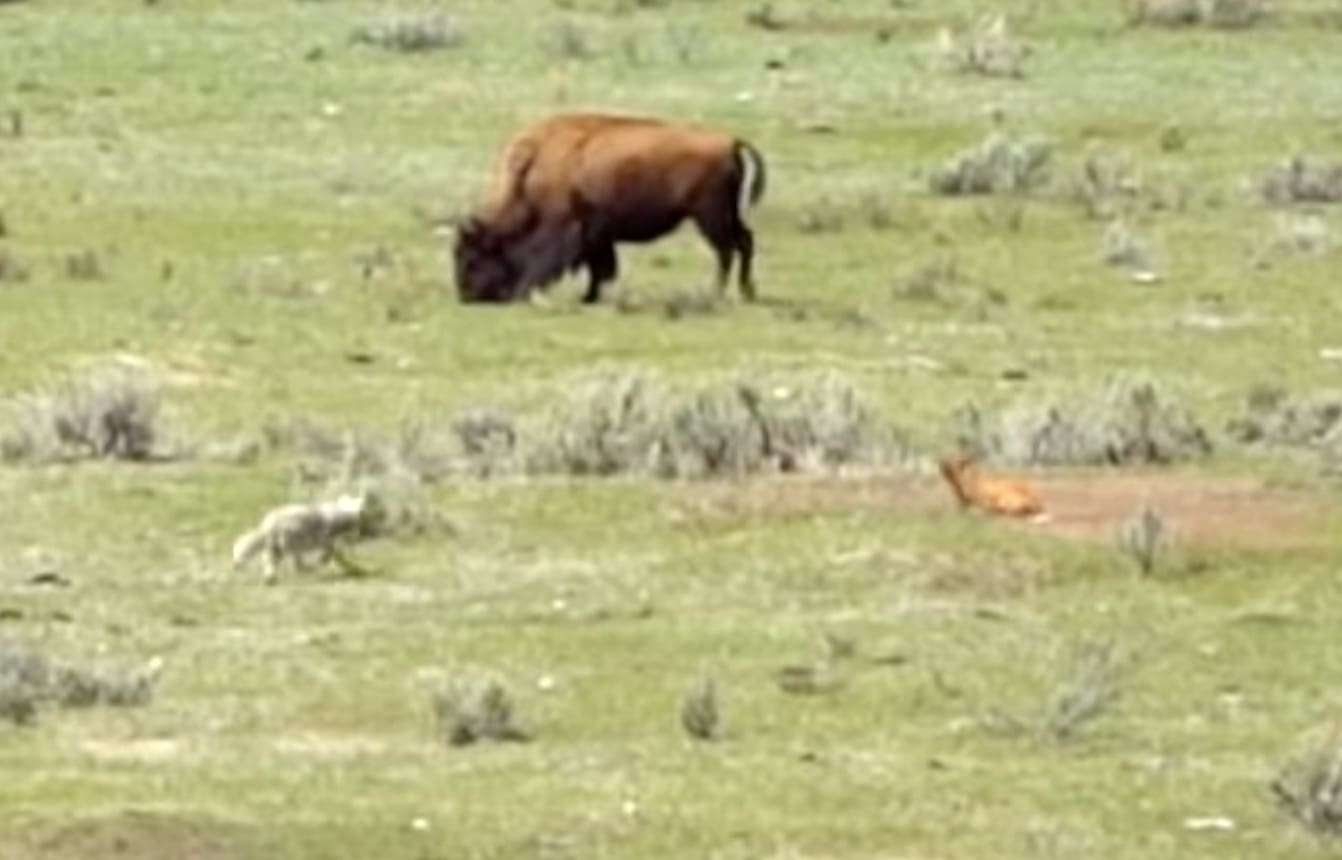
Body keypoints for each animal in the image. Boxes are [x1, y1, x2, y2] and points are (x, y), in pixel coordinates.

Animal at [454, 113, 767, 304]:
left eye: (471, 258)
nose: (467, 296)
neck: (530, 175)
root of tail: (729, 141)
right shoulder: (596, 236)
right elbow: (601, 268)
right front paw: (589, 297)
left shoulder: (567, 228)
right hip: (727, 215)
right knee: (744, 242)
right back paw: (746, 292)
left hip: (709, 217)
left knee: (726, 251)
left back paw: (716, 293)